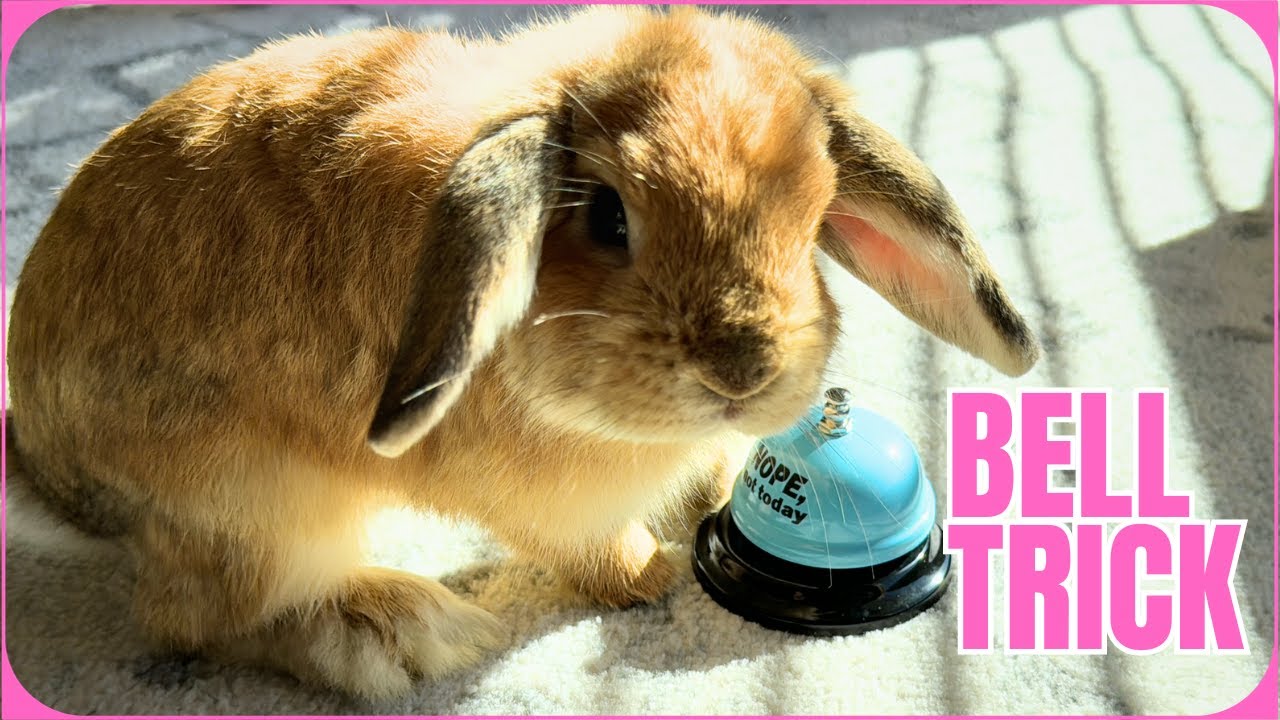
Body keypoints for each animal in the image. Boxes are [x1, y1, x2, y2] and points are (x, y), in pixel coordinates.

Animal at [5, 5, 1040, 700]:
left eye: (814, 217)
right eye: (611, 216)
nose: (743, 373)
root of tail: (58, 481)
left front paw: (711, 493)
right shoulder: (541, 504)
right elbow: (596, 554)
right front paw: (652, 576)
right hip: (256, 503)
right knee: (205, 620)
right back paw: (391, 629)